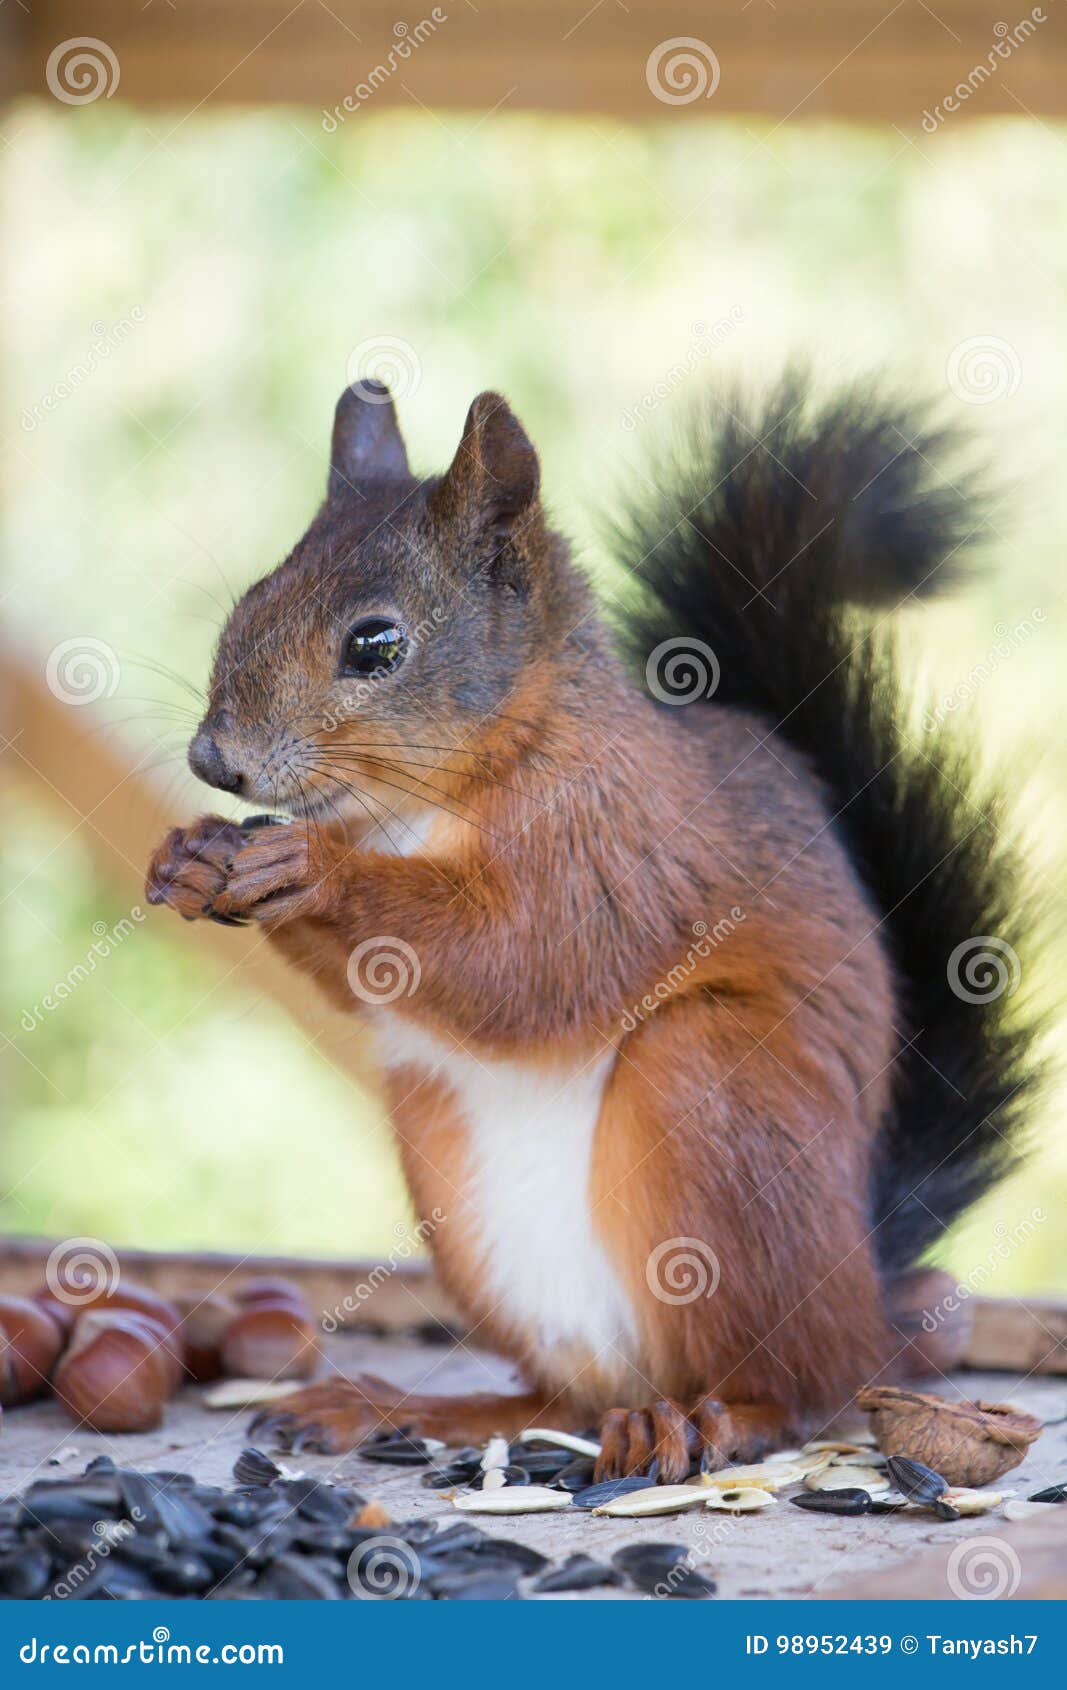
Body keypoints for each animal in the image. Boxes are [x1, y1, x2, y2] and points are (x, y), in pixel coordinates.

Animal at [146, 375, 1037, 1481]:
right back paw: (397, 1407)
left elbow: (527, 960)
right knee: (558, 1396)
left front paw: (312, 869)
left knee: (796, 1386)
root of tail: (872, 1304)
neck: (432, 798)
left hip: (716, 1094)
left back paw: (710, 1419)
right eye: (248, 602)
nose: (211, 759)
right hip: (452, 1175)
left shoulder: (616, 848)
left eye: (374, 644)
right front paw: (191, 854)